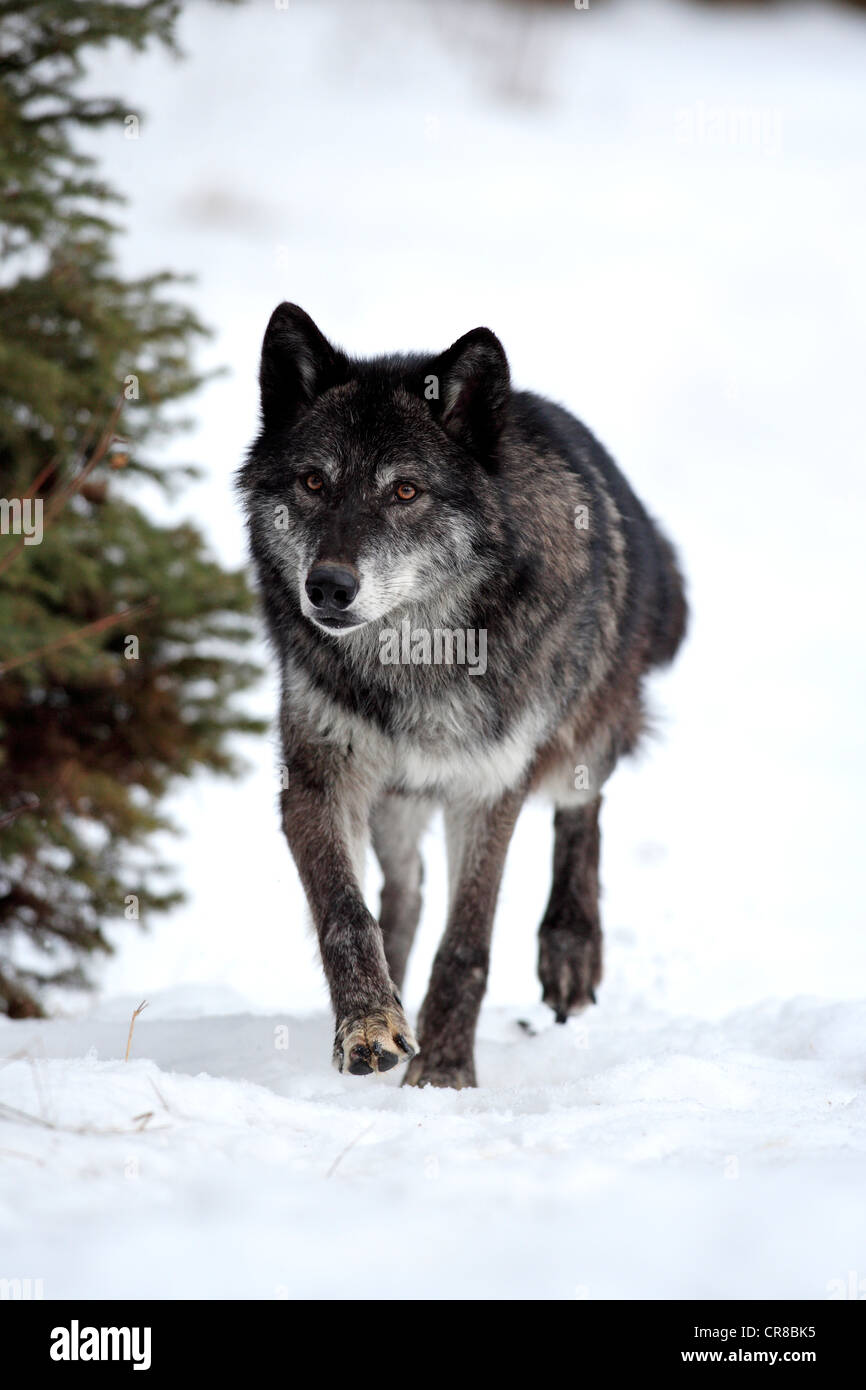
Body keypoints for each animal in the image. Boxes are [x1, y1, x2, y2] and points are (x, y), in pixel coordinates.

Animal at [238, 304, 687, 1088]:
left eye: (405, 491)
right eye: (313, 482)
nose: (327, 587)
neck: (412, 662)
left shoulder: (488, 785)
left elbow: (467, 945)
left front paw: (444, 1074)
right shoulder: (317, 778)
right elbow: (345, 914)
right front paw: (370, 1023)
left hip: (580, 738)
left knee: (583, 808)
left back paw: (570, 947)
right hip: (395, 801)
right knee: (405, 892)